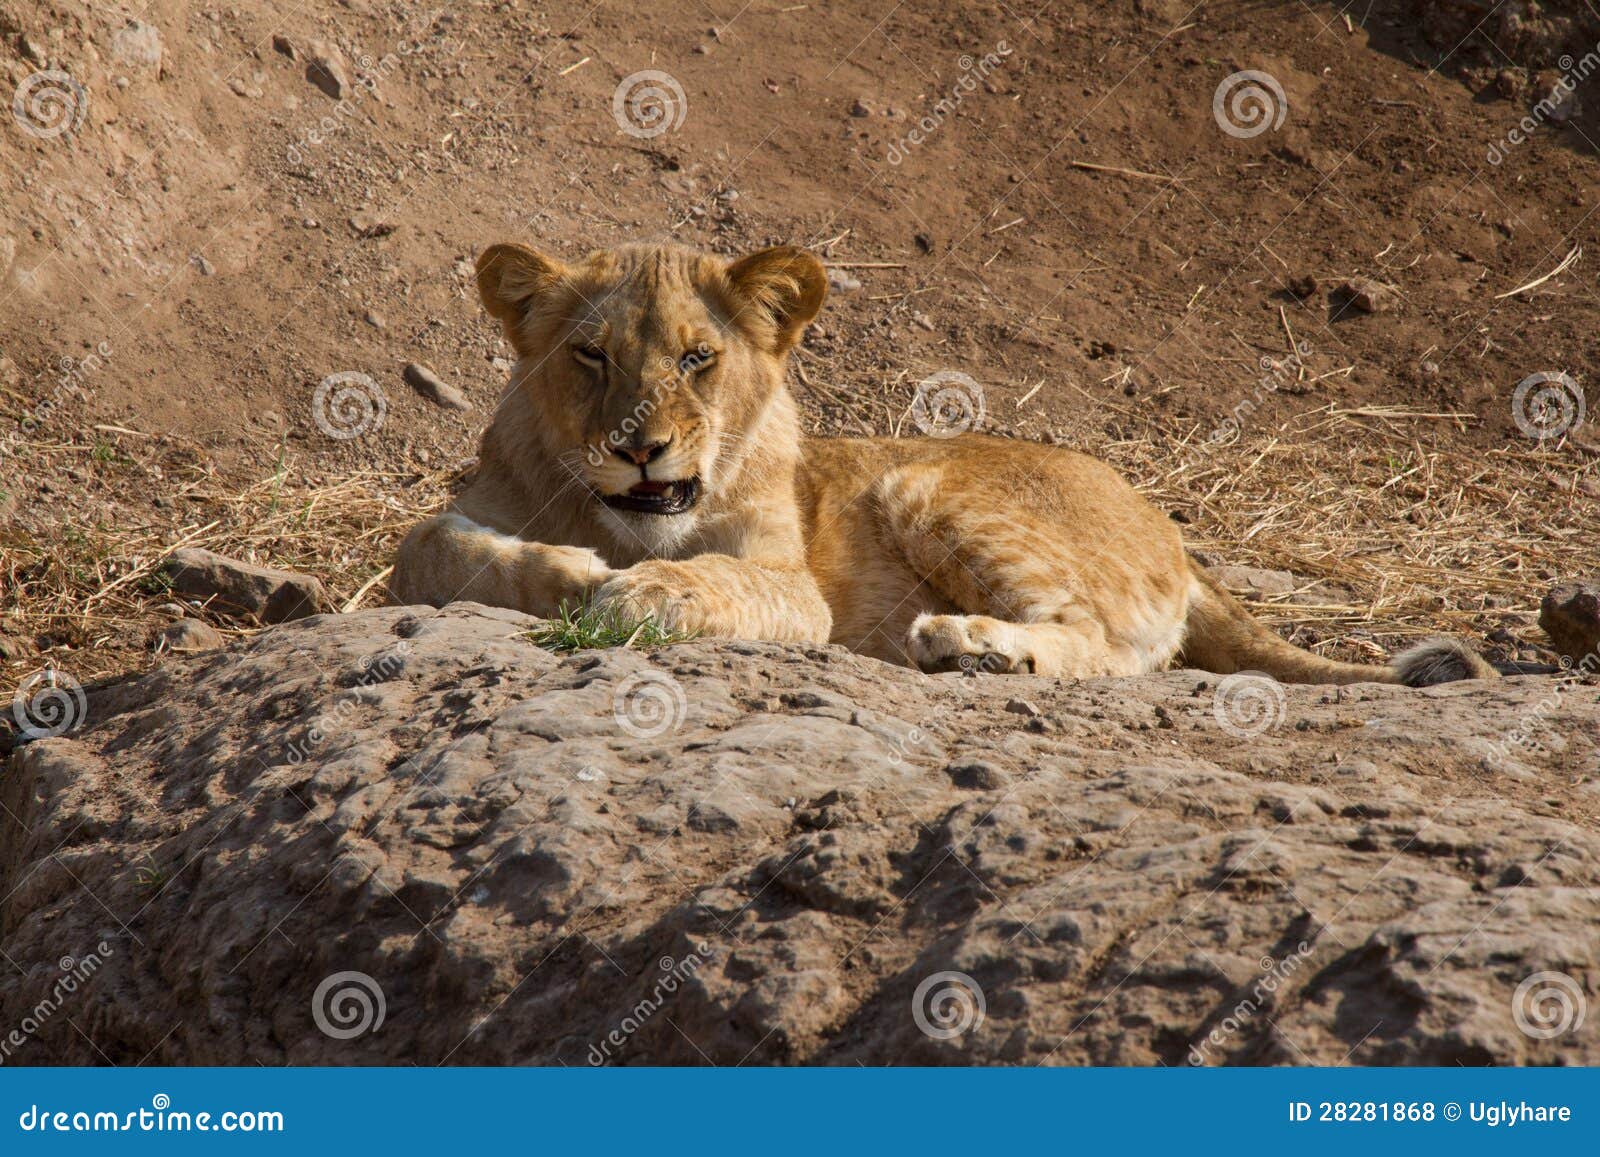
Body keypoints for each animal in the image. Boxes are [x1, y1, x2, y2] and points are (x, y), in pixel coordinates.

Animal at [389, 240, 1495, 687]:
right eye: (591, 356)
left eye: (699, 360)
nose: (639, 446)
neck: (625, 519)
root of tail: (1177, 538)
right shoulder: (464, 521)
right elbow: (431, 545)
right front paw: (568, 573)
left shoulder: (792, 584)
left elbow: (725, 582)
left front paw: (640, 592)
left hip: (924, 482)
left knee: (1112, 648)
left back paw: (974, 644)